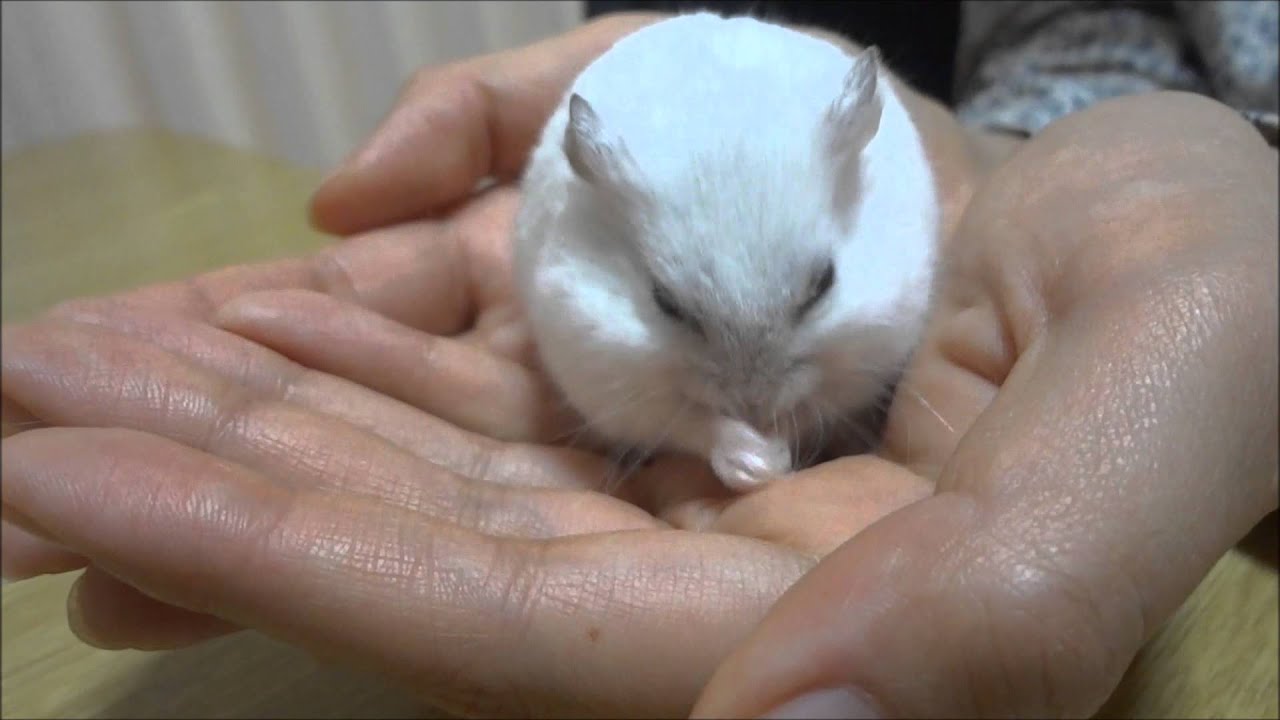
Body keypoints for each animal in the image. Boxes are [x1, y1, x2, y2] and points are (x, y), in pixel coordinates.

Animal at [511, 12, 939, 493]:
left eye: (824, 283)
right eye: (665, 302)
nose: (752, 406)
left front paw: (773, 449)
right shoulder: (610, 378)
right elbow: (692, 425)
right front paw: (756, 461)